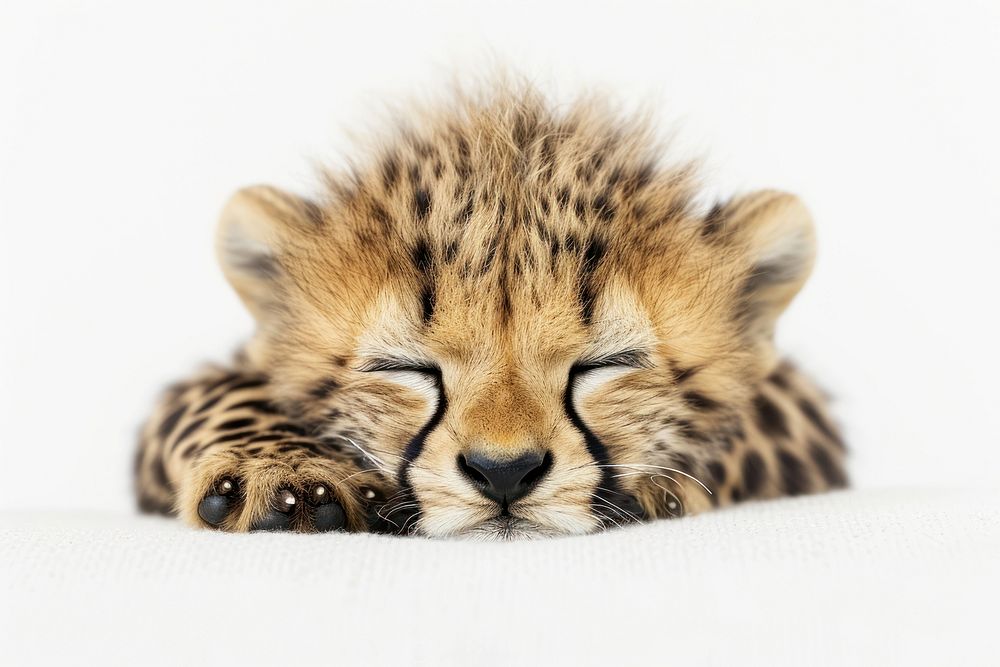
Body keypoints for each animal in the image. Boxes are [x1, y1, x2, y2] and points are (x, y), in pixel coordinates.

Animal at [134, 81, 847, 539]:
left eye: (605, 364)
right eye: (406, 368)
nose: (505, 473)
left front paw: (653, 485)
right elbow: (225, 395)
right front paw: (283, 473)